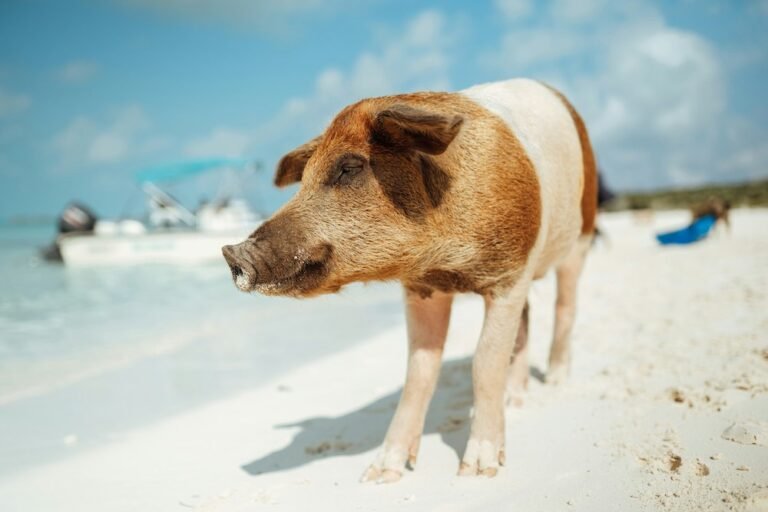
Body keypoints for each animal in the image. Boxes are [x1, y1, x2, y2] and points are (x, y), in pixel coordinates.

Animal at [222, 78, 597, 482]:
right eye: (303, 180)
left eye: (349, 167)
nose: (231, 253)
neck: (447, 262)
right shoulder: (422, 288)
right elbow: (419, 372)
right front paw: (380, 474)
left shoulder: (509, 273)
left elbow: (484, 362)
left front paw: (477, 471)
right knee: (525, 322)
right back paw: (515, 401)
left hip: (581, 233)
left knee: (565, 305)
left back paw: (557, 380)